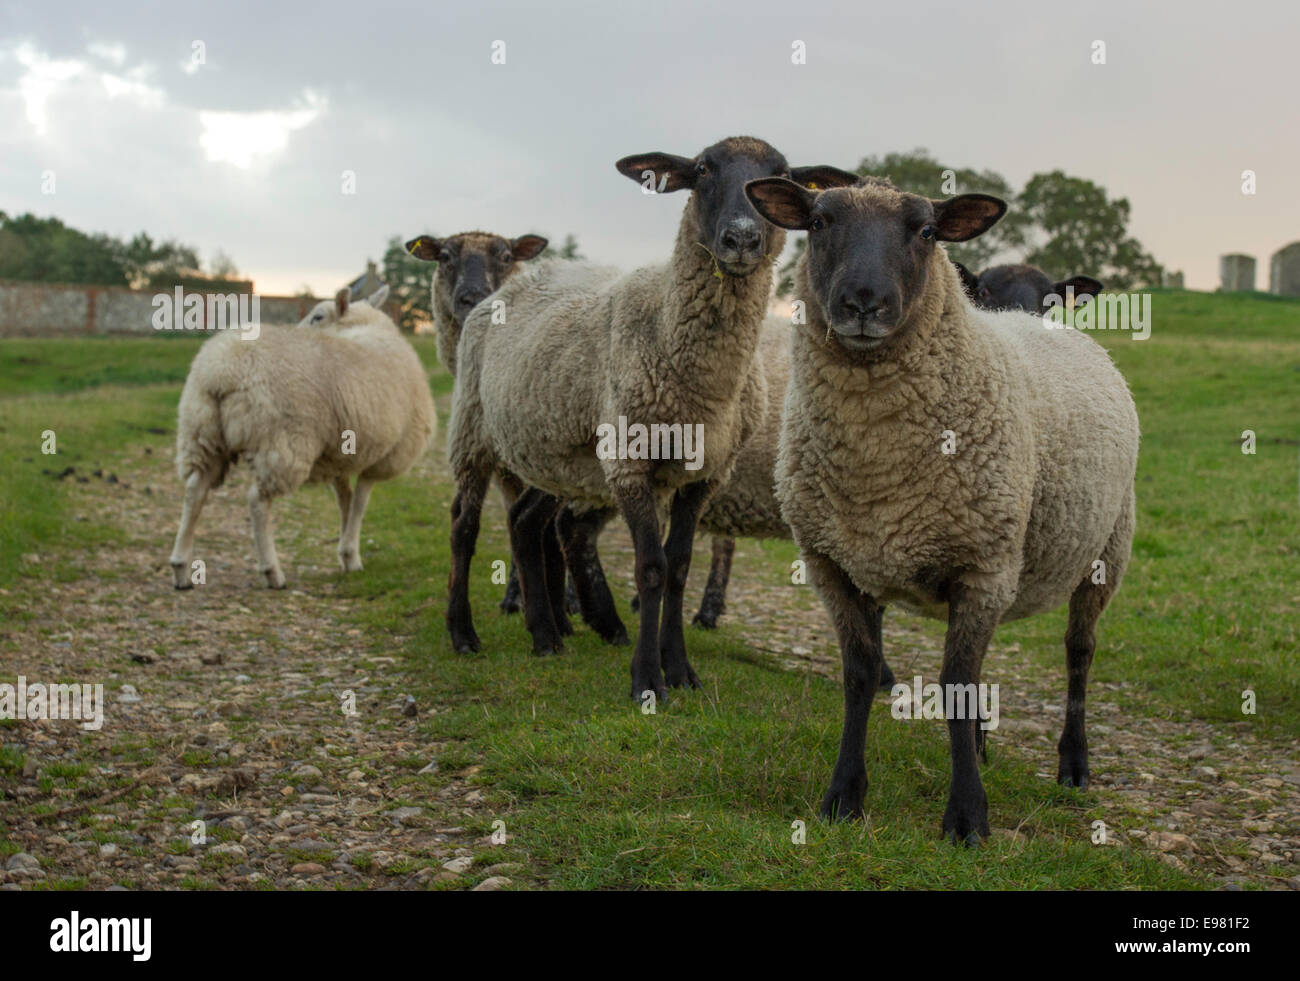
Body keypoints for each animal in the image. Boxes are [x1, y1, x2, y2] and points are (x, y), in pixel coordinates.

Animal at [169, 284, 436, 589]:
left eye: (317, 316)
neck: (359, 327)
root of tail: (224, 370)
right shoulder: (381, 457)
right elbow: (359, 504)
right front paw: (351, 555)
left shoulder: (338, 456)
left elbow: (345, 502)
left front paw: (345, 553)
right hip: (282, 442)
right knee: (257, 500)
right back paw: (272, 572)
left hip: (201, 432)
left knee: (195, 490)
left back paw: (181, 568)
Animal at [445, 135, 858, 699]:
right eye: (702, 170)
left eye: (782, 177)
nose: (742, 238)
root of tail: (504, 290)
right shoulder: (629, 462)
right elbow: (651, 567)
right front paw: (647, 679)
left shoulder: (706, 473)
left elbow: (679, 566)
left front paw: (680, 670)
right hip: (472, 430)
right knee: (463, 527)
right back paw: (463, 633)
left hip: (560, 459)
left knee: (525, 522)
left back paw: (546, 635)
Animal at [744, 175, 1139, 844]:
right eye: (818, 222)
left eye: (927, 231)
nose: (864, 302)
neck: (876, 459)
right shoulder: (832, 563)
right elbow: (861, 675)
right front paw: (844, 798)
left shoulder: (981, 566)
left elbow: (956, 683)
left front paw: (967, 819)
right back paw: (979, 747)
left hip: (1106, 548)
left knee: (1079, 651)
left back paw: (1074, 763)